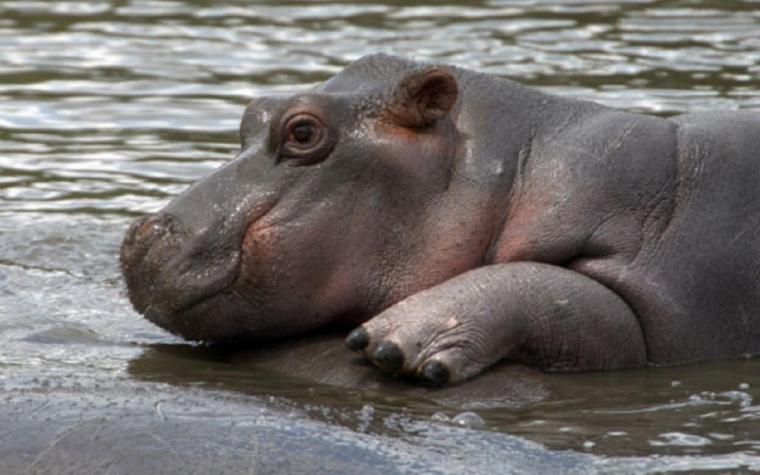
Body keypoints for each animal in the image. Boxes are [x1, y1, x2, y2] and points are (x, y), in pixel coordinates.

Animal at [121, 53, 760, 386]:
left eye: (302, 131)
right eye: (252, 113)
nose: (145, 235)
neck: (523, 167)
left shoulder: (664, 300)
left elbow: (566, 296)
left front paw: (393, 343)